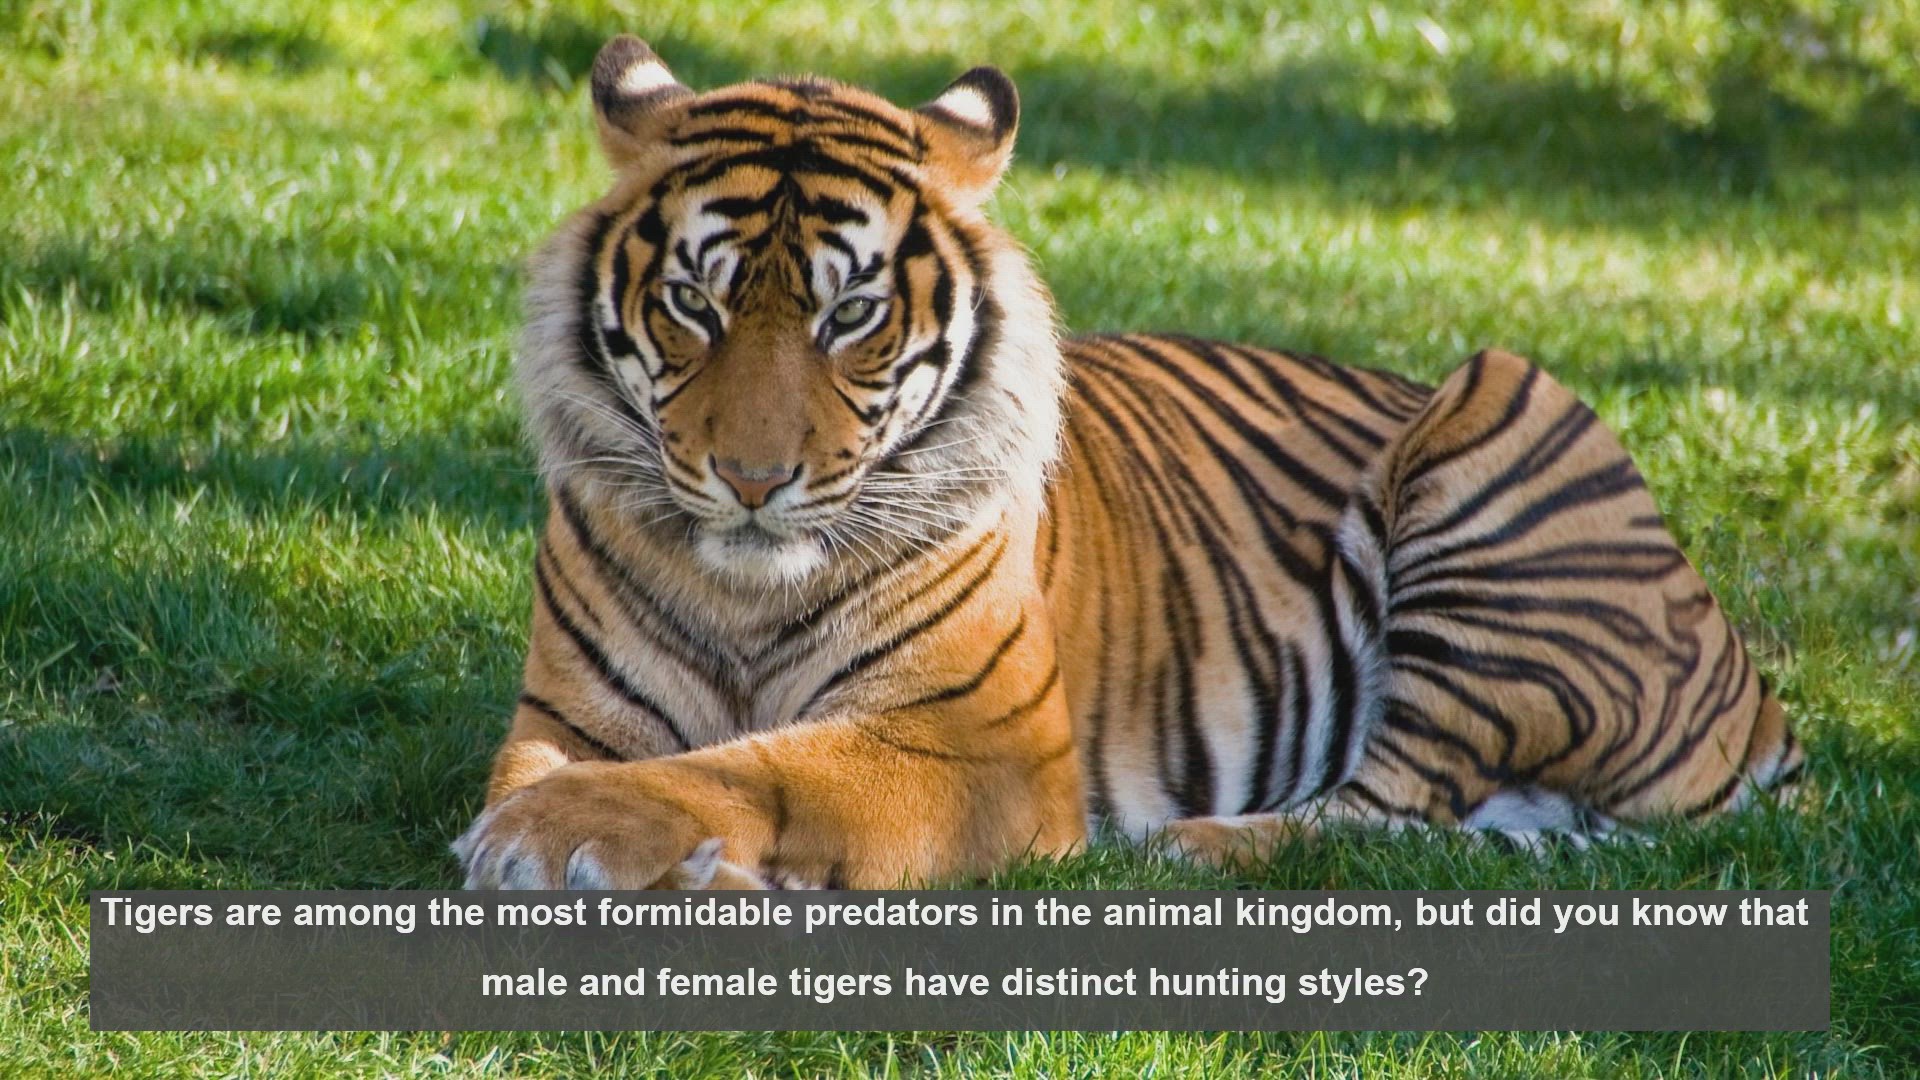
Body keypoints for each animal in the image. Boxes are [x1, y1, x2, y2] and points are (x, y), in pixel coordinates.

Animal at [452, 35, 1803, 890]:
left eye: (851, 316)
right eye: (695, 304)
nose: (749, 480)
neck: (746, 588)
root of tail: (1758, 694)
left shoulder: (978, 742)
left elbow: (760, 767)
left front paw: (556, 839)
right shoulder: (567, 710)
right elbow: (581, 768)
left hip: (1505, 411)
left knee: (1383, 810)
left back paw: (1195, 845)